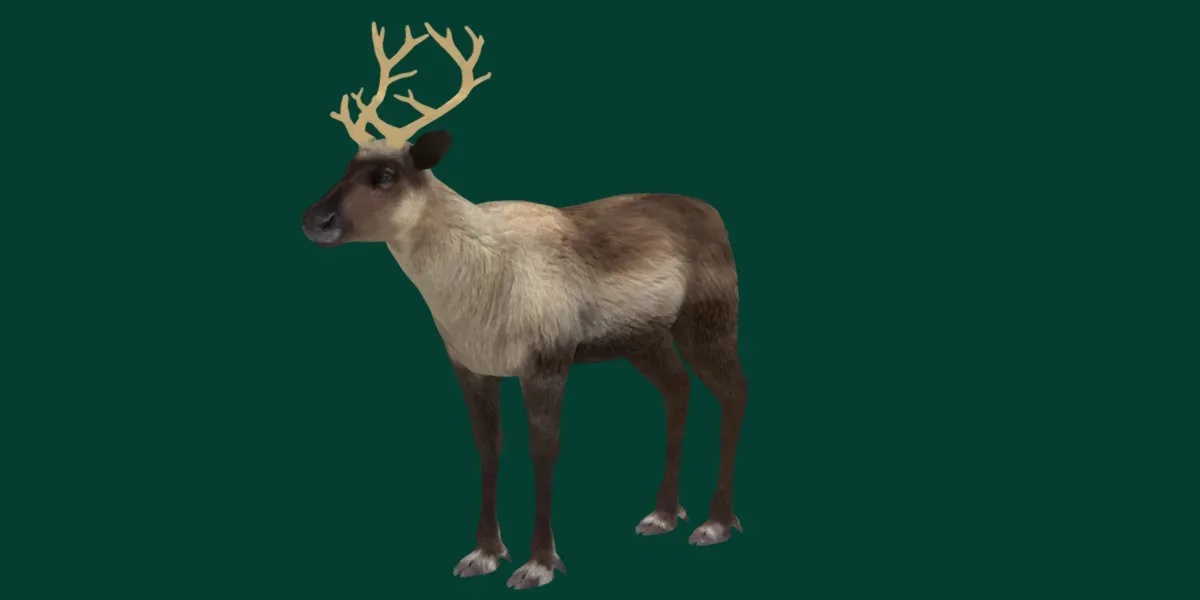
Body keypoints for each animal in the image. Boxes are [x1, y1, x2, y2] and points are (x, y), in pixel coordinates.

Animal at [301, 22, 748, 590]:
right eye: (346, 165)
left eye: (385, 176)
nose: (314, 220)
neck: (472, 283)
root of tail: (715, 214)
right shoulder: (471, 365)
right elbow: (489, 448)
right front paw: (484, 553)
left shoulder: (547, 362)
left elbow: (545, 451)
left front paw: (539, 563)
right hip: (644, 340)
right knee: (678, 389)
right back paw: (663, 514)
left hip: (708, 321)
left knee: (734, 392)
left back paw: (716, 523)